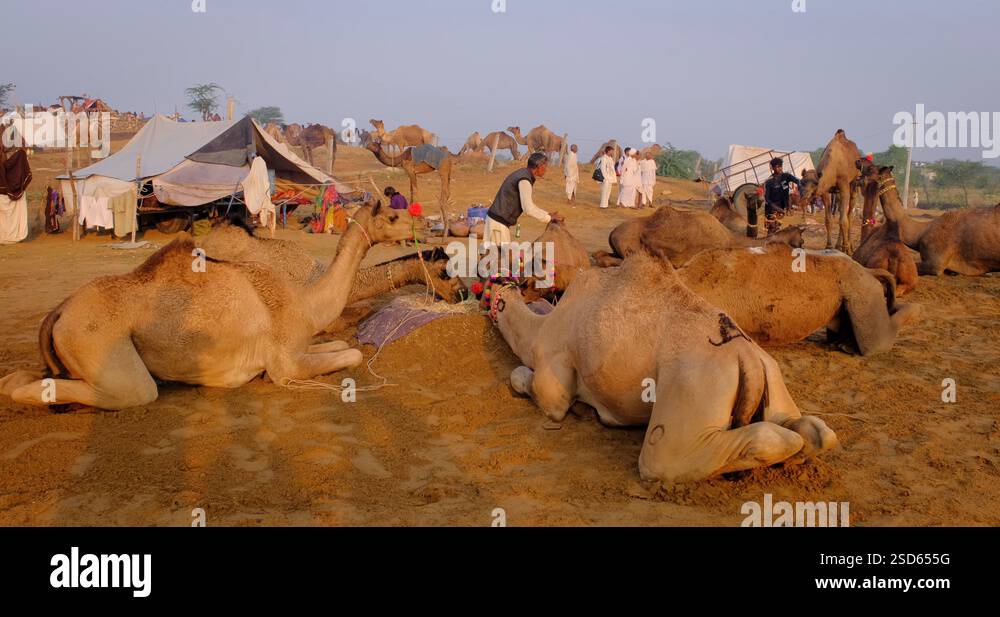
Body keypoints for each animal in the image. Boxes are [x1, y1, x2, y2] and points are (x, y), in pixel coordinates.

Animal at [0, 203, 417, 410]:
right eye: (392, 216)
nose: (422, 226)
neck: (305, 300)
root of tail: (60, 311)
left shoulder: (301, 343)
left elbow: (343, 344)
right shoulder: (286, 364)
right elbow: (351, 355)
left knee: (19, 378)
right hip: (99, 345)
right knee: (132, 391)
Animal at [491, 252, 838, 483]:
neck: (539, 328)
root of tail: (746, 358)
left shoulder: (553, 373)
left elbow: (529, 383)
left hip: (691, 394)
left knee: (666, 459)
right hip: (773, 378)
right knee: (815, 431)